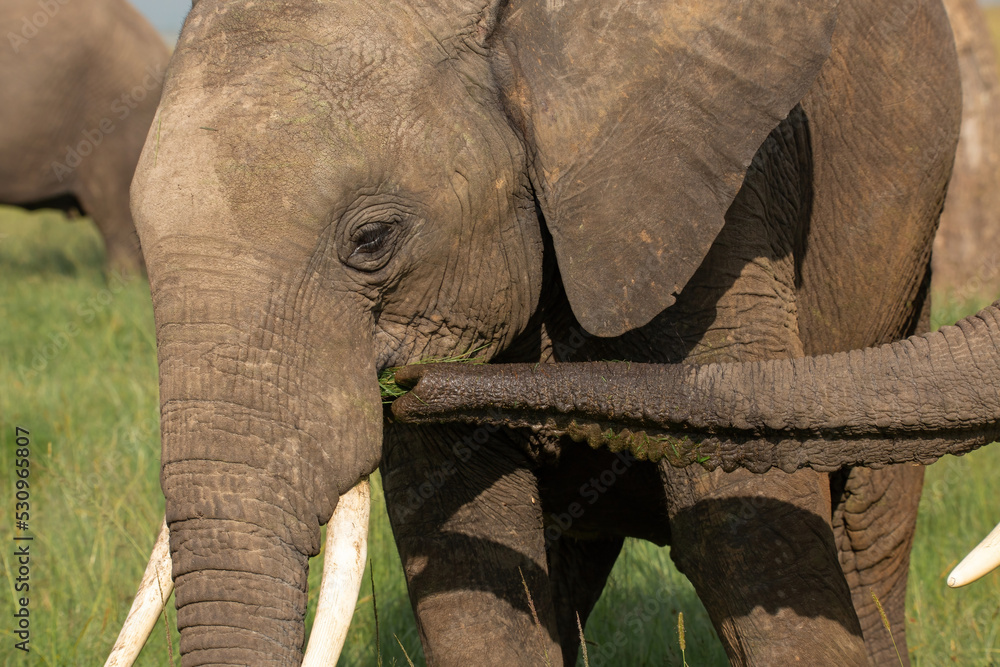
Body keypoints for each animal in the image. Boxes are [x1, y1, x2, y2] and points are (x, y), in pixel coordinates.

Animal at [110, 0, 963, 664]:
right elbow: (468, 552)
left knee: (866, 536)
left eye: (373, 240)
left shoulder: (722, 191)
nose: (400, 384)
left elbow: (745, 531)